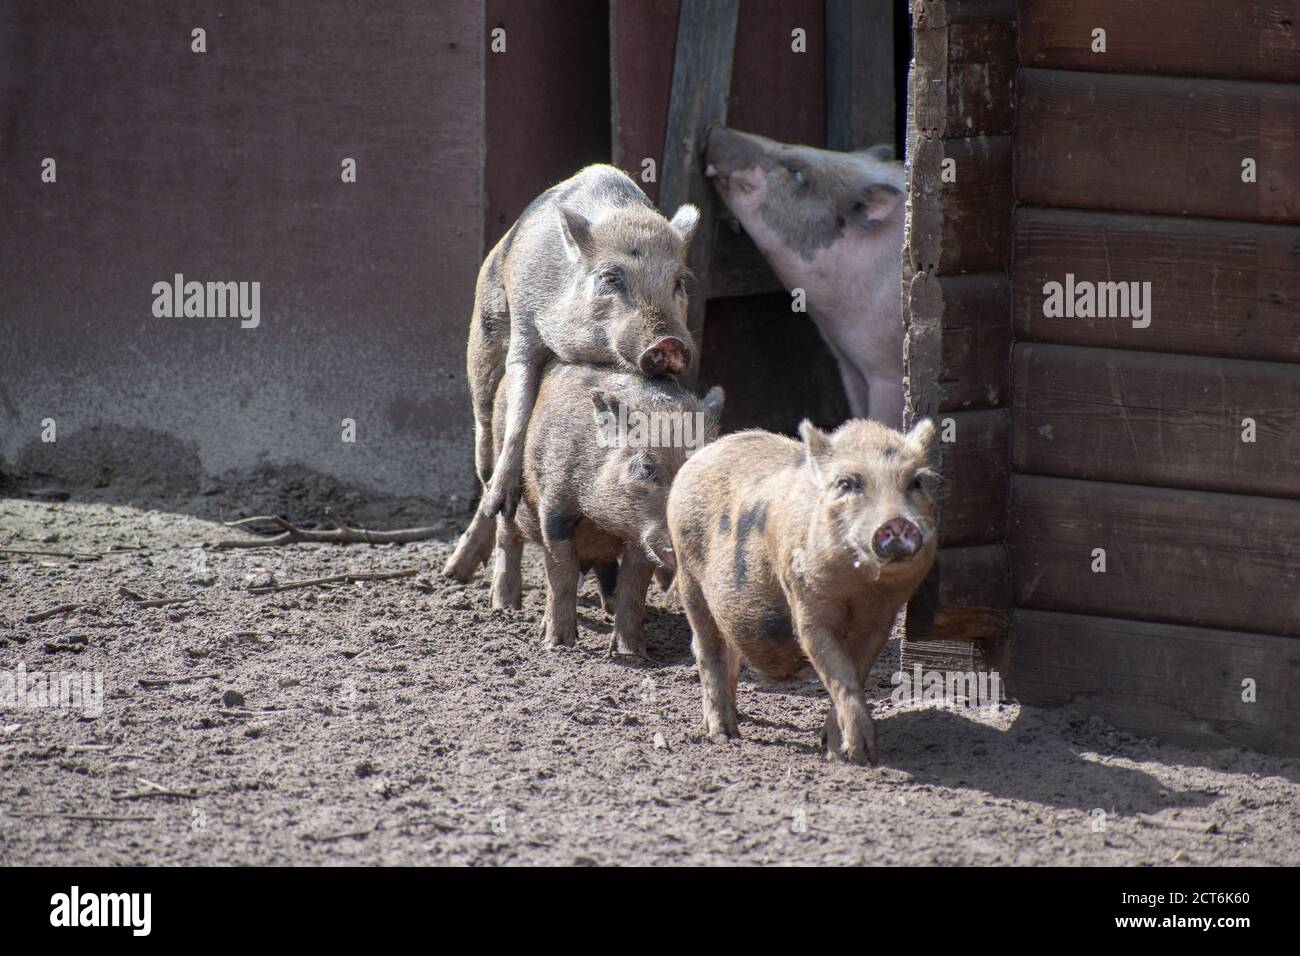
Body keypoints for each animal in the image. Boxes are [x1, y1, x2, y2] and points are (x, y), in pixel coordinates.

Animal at [448, 358, 723, 655]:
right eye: (646, 468)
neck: (603, 523)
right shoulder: (555, 508)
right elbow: (562, 573)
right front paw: (557, 644)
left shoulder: (640, 537)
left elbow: (634, 585)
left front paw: (632, 652)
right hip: (505, 487)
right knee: (507, 538)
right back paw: (505, 606)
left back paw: (612, 608)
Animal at [465, 164, 701, 528]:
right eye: (610, 277)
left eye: (679, 282)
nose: (669, 341)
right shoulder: (524, 325)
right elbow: (519, 404)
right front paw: (501, 506)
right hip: (483, 337)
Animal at [666, 416, 938, 764]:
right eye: (847, 484)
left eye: (916, 482)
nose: (897, 522)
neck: (862, 589)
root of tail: (698, 457)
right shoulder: (807, 607)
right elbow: (839, 674)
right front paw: (860, 756)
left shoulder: (882, 621)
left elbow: (854, 674)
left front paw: (838, 752)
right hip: (689, 576)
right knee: (705, 649)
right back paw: (724, 735)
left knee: (728, 653)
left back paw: (737, 721)